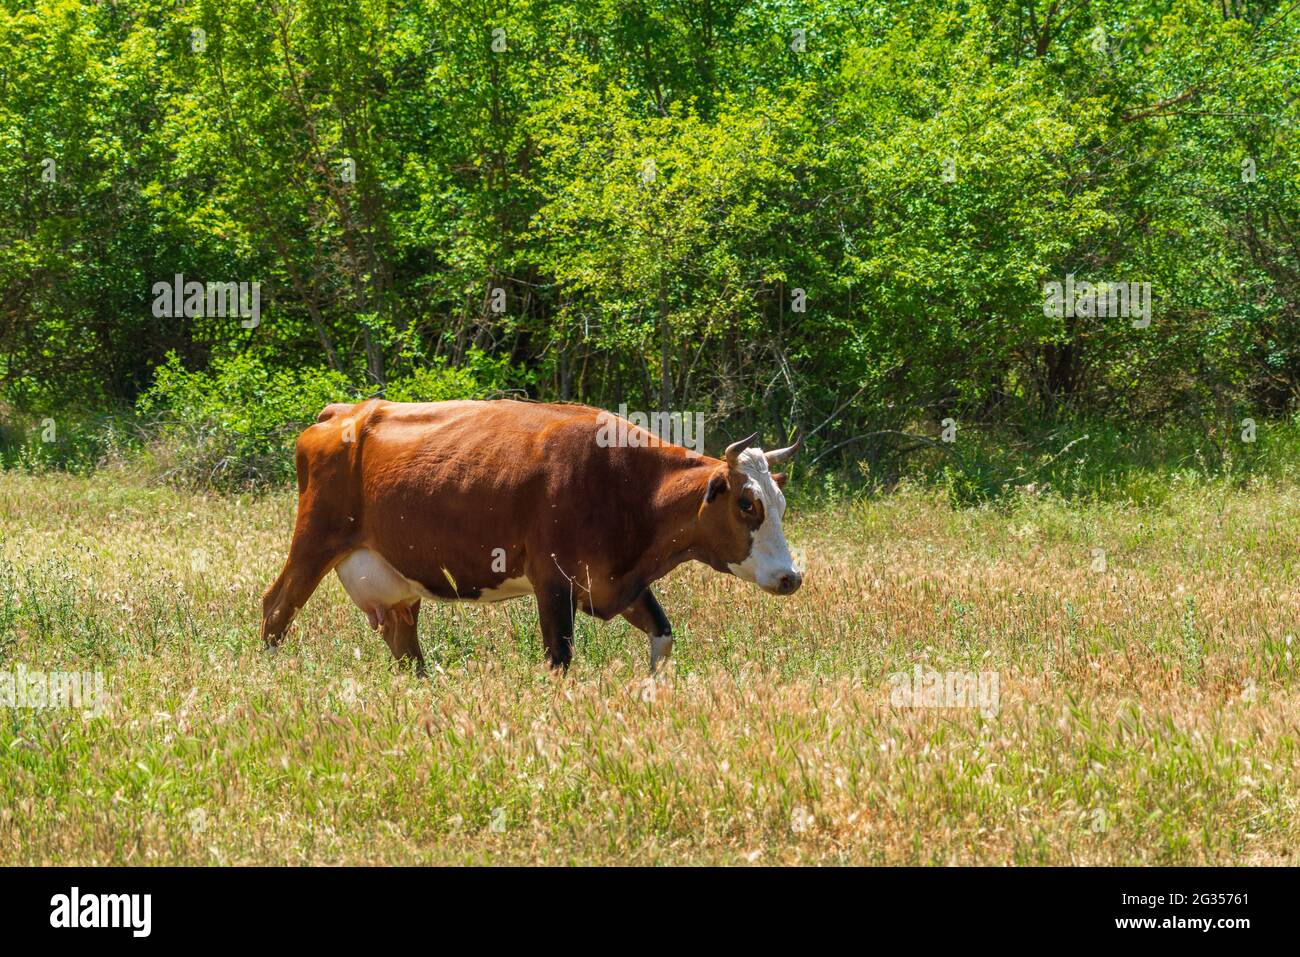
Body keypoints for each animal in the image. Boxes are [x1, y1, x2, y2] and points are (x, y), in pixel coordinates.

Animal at [260, 399, 802, 673]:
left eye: (779, 503)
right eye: (747, 504)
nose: (791, 577)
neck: (624, 481)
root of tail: (345, 412)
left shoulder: (615, 583)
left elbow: (663, 639)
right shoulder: (552, 580)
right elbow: (559, 659)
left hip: (395, 582)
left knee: (402, 640)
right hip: (314, 542)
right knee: (277, 607)